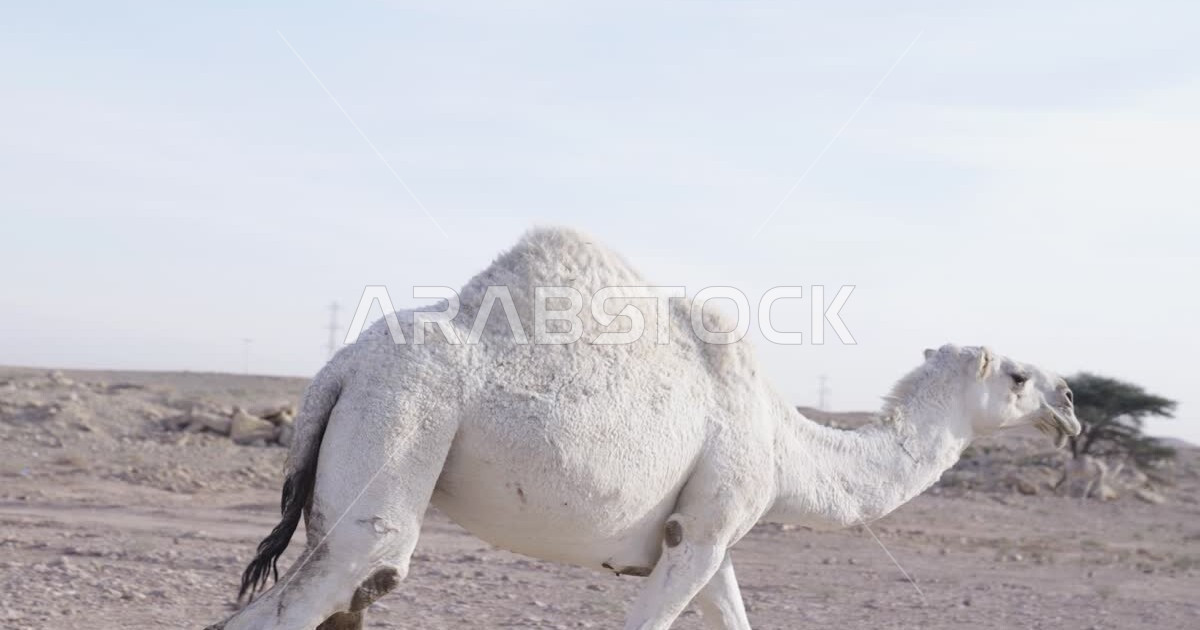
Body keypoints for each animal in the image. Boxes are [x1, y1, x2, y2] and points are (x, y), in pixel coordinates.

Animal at [205, 227, 1081, 630]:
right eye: (1018, 377)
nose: (1072, 407)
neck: (787, 443)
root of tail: (338, 367)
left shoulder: (705, 534)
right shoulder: (704, 530)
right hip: (401, 417)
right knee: (357, 570)